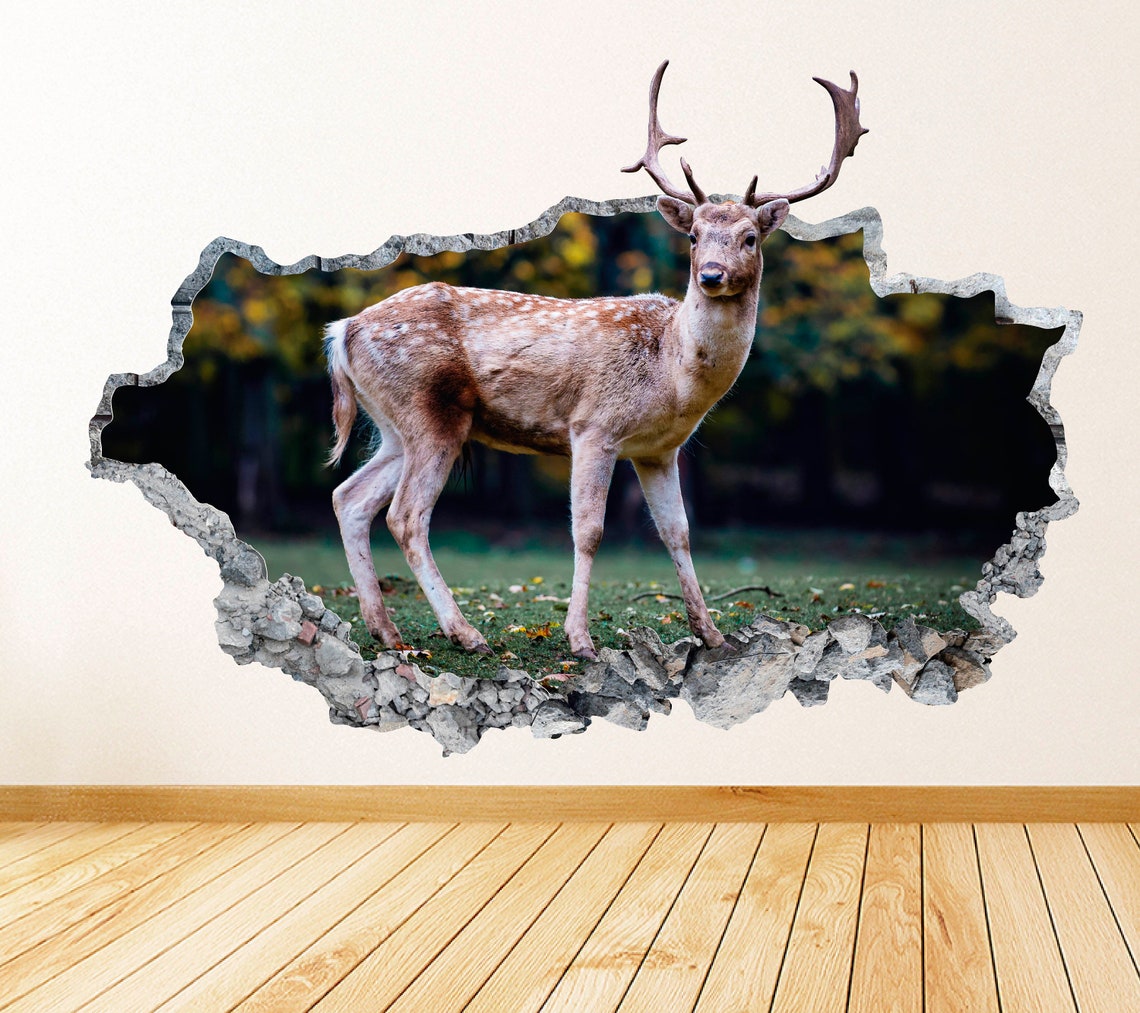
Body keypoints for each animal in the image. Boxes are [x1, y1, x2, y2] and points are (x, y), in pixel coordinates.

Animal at [325, 61, 867, 662]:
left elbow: (678, 532)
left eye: (750, 237)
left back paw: (386, 631)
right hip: (430, 412)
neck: (672, 374)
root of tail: (341, 331)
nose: (711, 274)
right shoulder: (594, 426)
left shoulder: (658, 450)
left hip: (394, 425)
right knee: (405, 516)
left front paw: (712, 634)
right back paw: (464, 633)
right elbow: (589, 531)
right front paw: (579, 639)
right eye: (694, 236)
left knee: (349, 497)